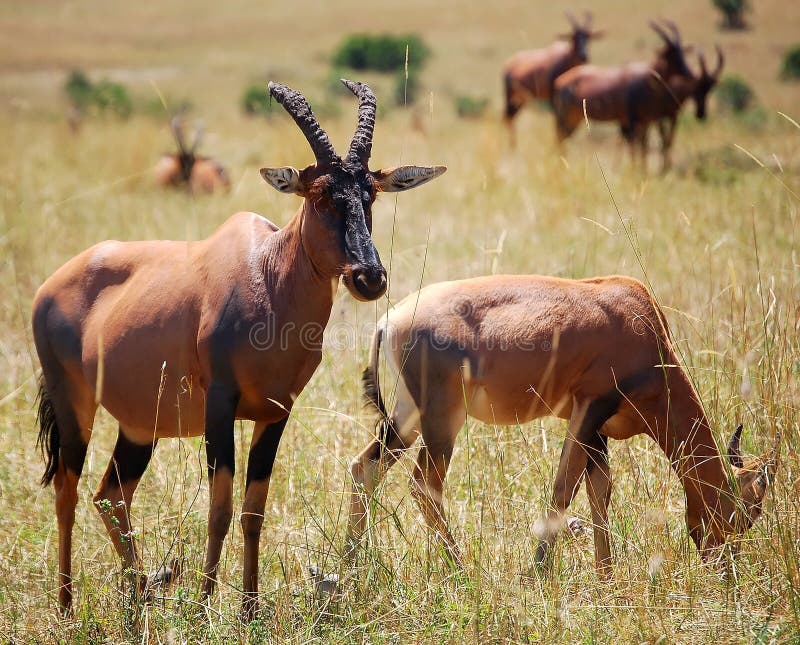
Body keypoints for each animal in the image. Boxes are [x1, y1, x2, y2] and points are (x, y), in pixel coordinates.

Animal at [32, 79, 445, 618]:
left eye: (369, 194)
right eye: (319, 194)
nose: (369, 277)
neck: (264, 272)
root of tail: (53, 283)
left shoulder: (275, 412)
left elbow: (253, 509)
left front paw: (249, 606)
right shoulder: (219, 405)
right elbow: (220, 508)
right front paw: (206, 603)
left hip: (140, 426)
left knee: (111, 495)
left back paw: (139, 595)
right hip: (73, 405)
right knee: (68, 489)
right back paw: (66, 605)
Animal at [346, 275, 778, 574]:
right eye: (744, 516)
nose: (725, 573)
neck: (637, 316)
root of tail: (389, 321)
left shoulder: (596, 427)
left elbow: (600, 490)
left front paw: (606, 576)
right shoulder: (589, 409)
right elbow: (564, 489)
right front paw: (538, 574)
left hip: (407, 417)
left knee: (365, 467)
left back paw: (351, 564)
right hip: (443, 420)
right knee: (425, 485)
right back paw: (461, 568)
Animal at [503, 12, 603, 147]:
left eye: (588, 36)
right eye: (573, 37)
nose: (584, 56)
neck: (565, 59)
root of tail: (509, 64)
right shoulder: (553, 98)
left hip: (520, 100)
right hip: (511, 98)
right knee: (507, 117)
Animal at [552, 20, 694, 167]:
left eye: (682, 51)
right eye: (672, 54)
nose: (689, 73)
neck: (644, 79)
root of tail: (560, 82)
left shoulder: (645, 121)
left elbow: (643, 146)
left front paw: (643, 169)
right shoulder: (631, 121)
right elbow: (634, 148)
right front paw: (634, 169)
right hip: (566, 119)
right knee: (560, 139)